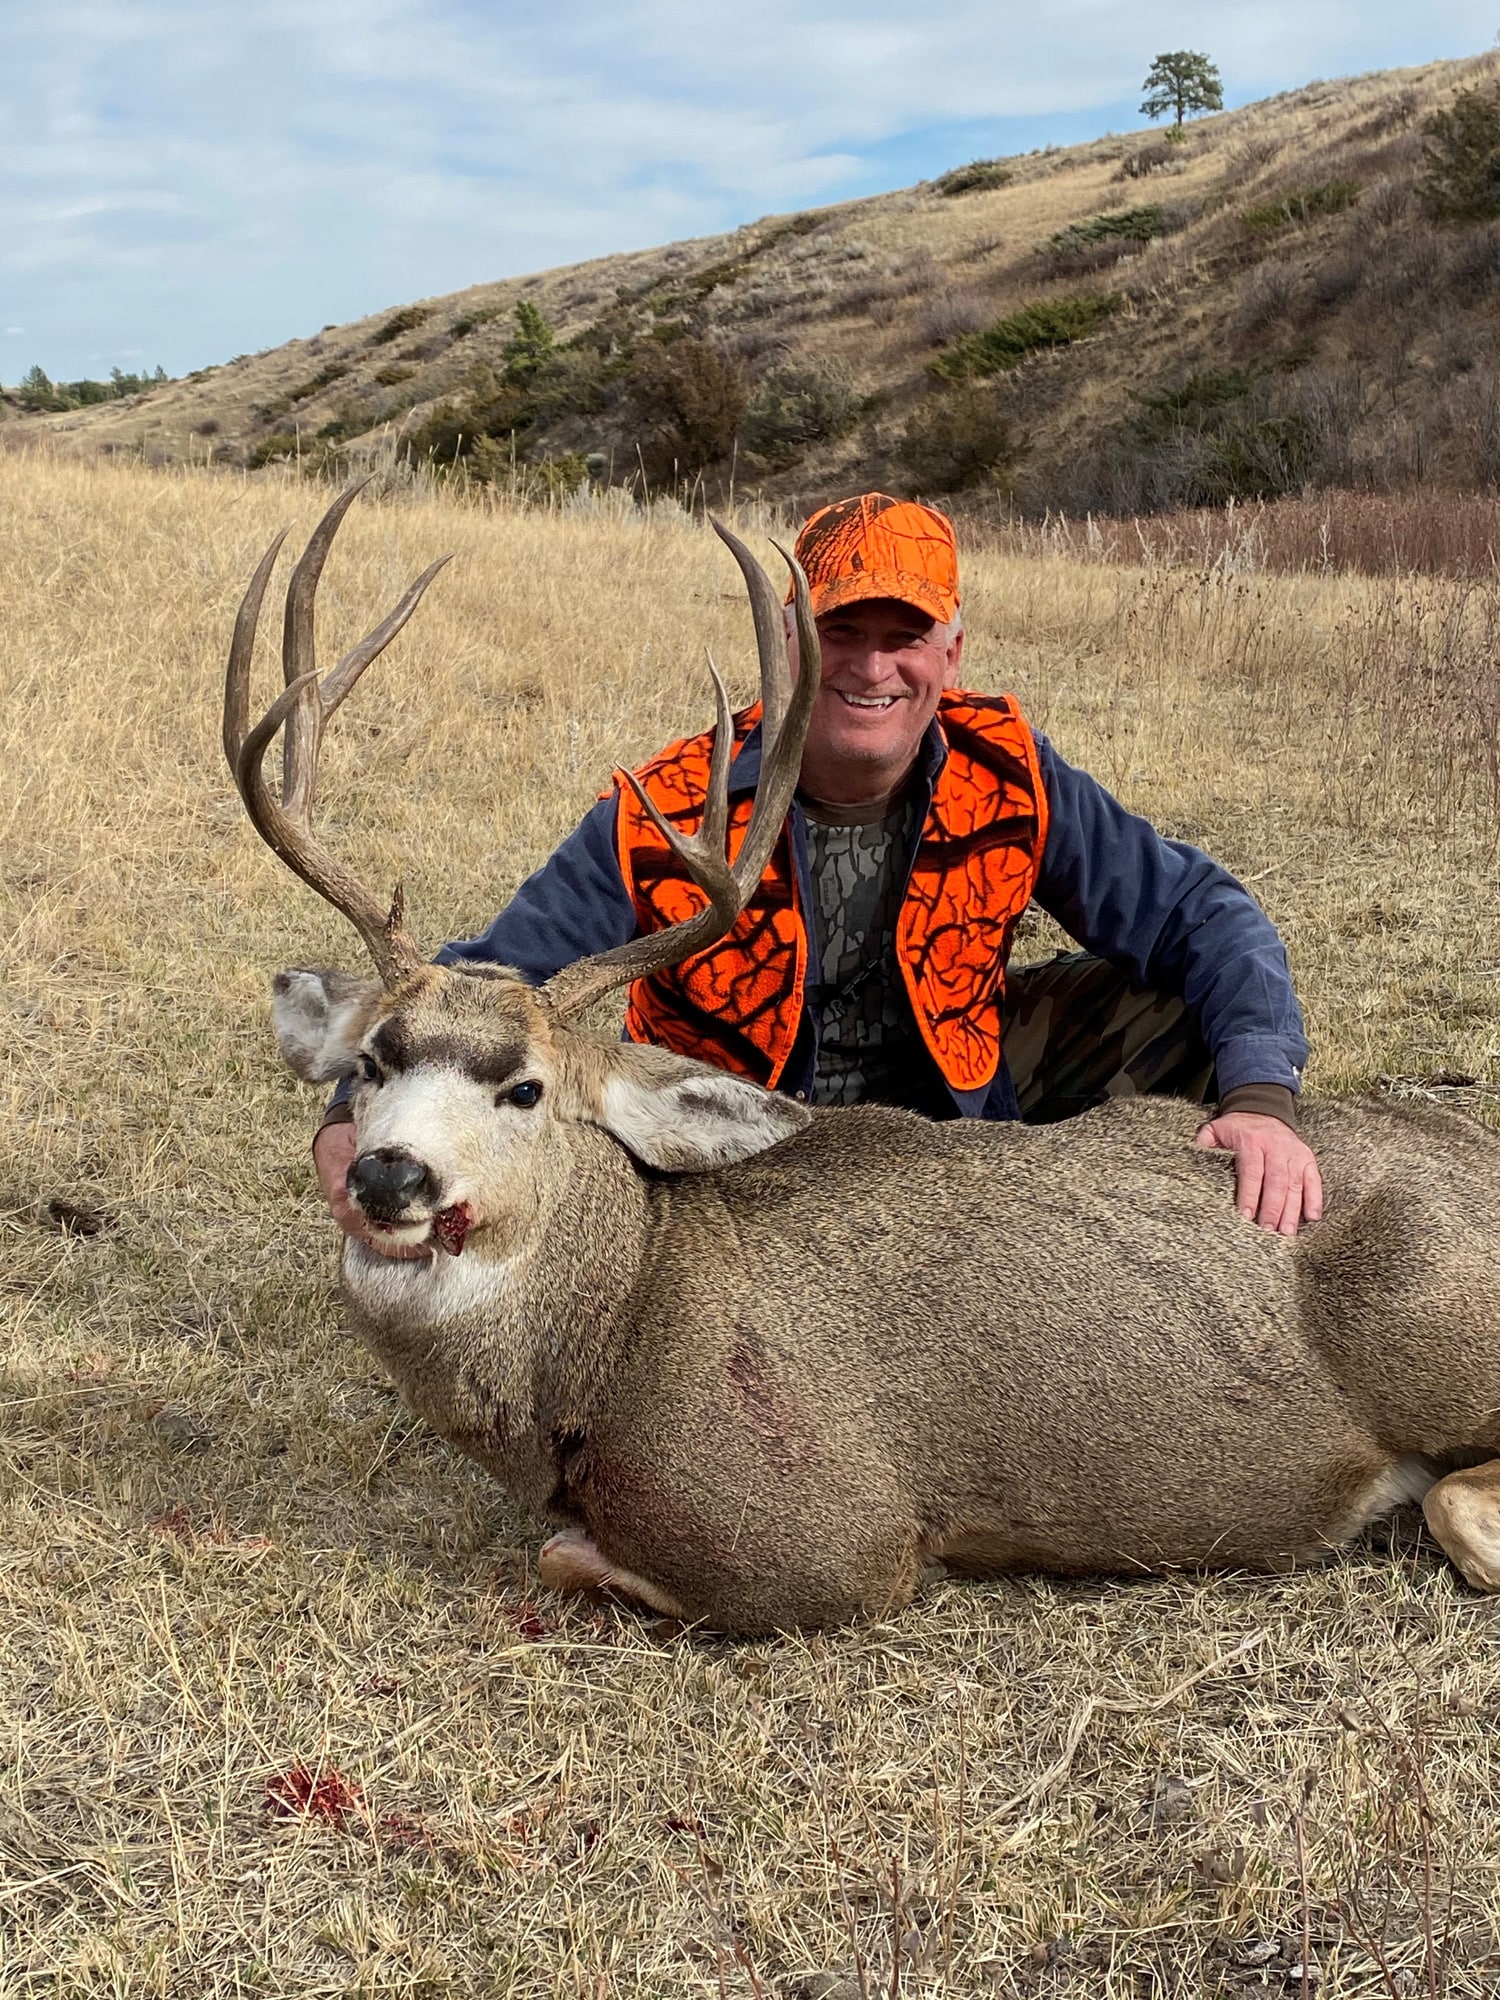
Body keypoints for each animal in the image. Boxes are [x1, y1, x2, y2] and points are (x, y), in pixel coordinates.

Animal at [224, 485, 1500, 1635]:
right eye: (374, 1060)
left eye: (526, 1088)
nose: (388, 1175)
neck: (617, 1325)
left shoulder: (827, 1541)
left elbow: (567, 1555)